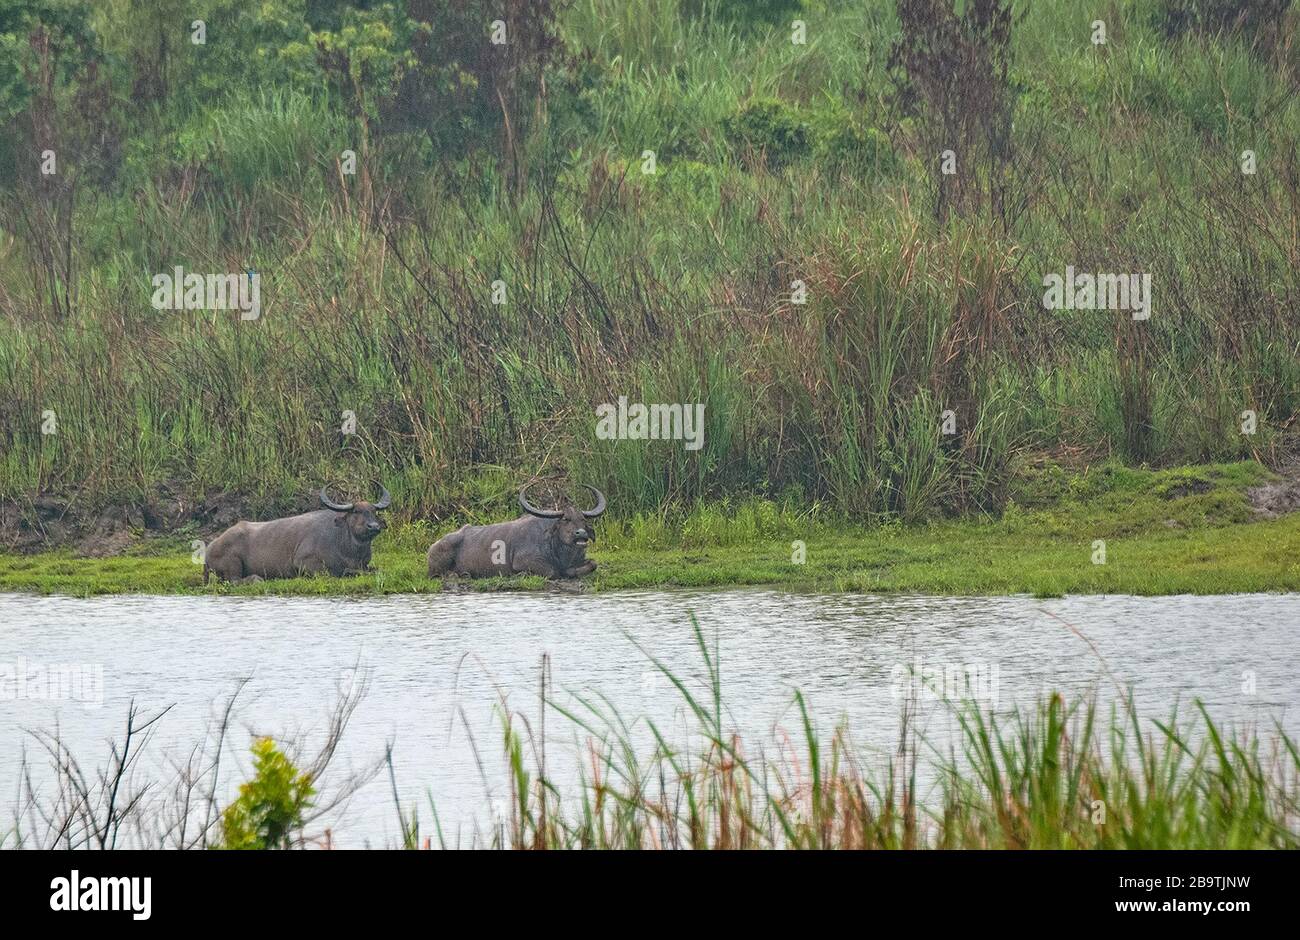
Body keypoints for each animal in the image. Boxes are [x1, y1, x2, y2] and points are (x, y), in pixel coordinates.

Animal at [203, 486, 391, 583]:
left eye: (373, 511)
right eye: (356, 511)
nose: (374, 526)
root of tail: (210, 547)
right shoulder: (304, 563)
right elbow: (338, 571)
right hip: (232, 563)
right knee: (234, 580)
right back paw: (256, 578)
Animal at [427, 484, 607, 580]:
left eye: (583, 520)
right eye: (566, 519)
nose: (581, 534)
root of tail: (433, 546)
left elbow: (593, 563)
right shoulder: (524, 561)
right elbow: (553, 571)